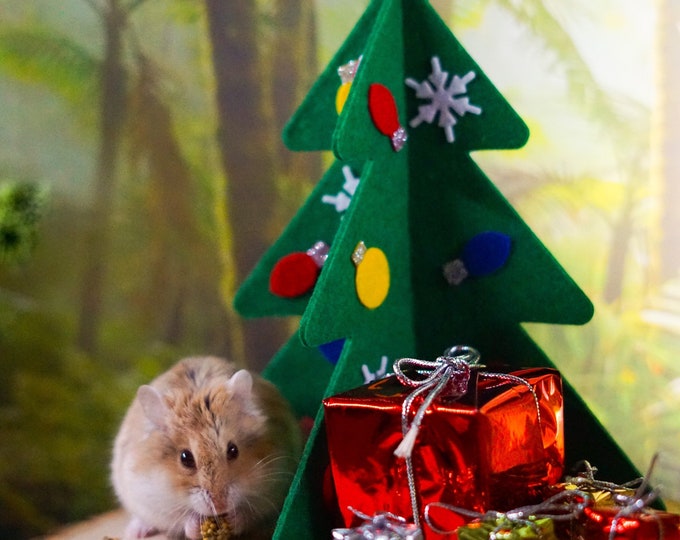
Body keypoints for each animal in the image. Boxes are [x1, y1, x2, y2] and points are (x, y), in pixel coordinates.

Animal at [111, 356, 302, 540]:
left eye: (233, 450)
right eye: (185, 458)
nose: (220, 506)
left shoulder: (271, 490)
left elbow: (248, 515)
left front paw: (233, 519)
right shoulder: (152, 498)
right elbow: (183, 520)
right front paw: (196, 525)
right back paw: (136, 532)